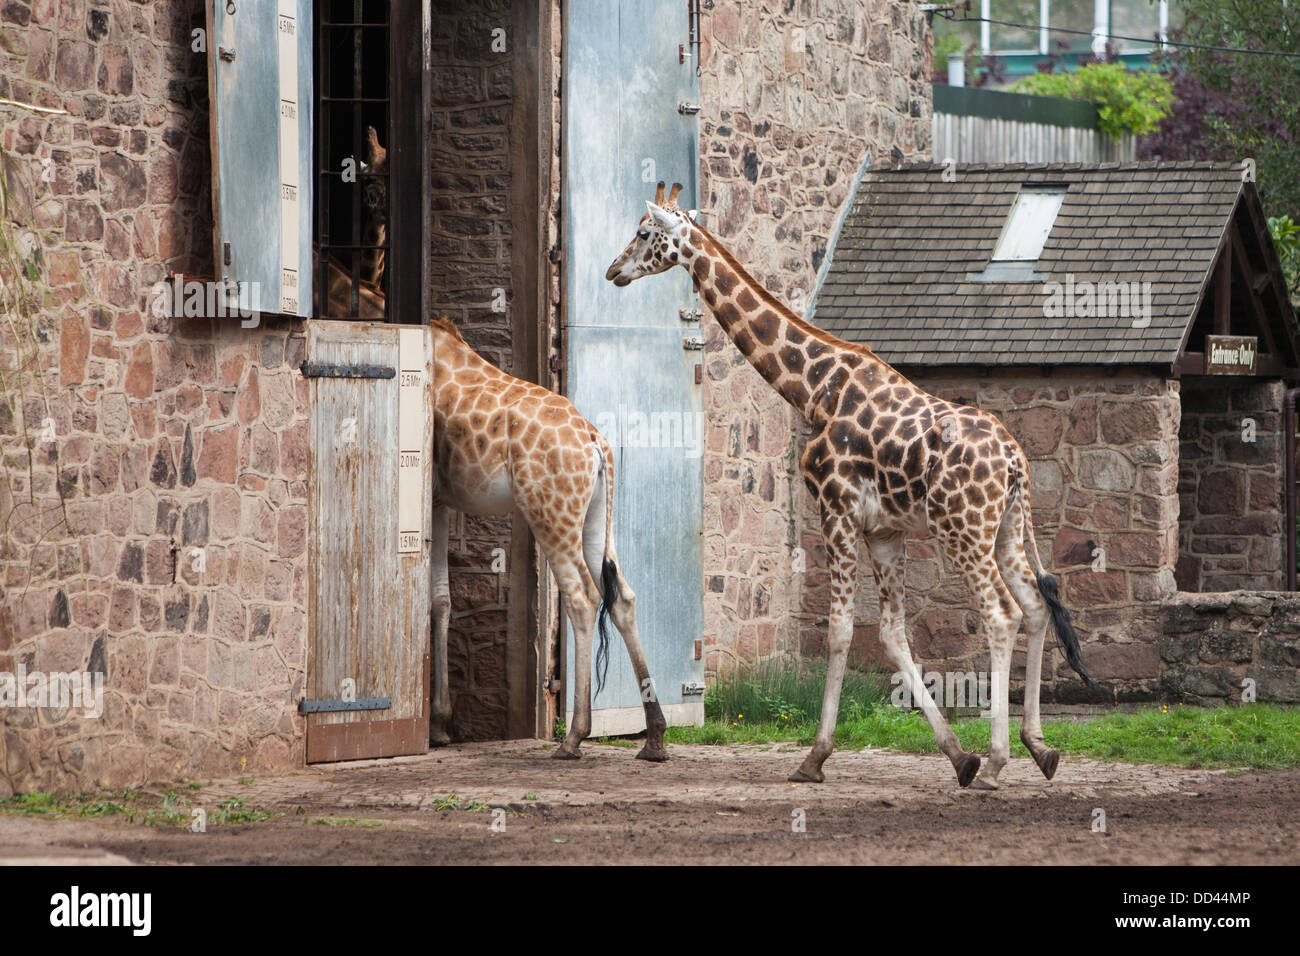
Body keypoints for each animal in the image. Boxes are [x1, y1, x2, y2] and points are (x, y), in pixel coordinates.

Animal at [428, 316, 668, 762]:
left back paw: (574, 737)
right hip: (595, 520)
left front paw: (436, 726)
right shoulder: (441, 500)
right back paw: (655, 738)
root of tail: (595, 445)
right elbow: (441, 600)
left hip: (550, 515)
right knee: (623, 597)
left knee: (582, 598)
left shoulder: (430, 495)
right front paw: (439, 726)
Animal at [605, 183, 1090, 789]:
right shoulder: (883, 531)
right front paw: (959, 755)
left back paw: (1000, 761)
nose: (612, 271)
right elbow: (890, 634)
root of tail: (1016, 462)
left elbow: (838, 632)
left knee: (1001, 615)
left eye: (644, 232)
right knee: (1035, 606)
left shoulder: (834, 512)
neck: (813, 386)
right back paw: (1039, 748)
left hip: (963, 531)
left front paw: (813, 757)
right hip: (1004, 529)